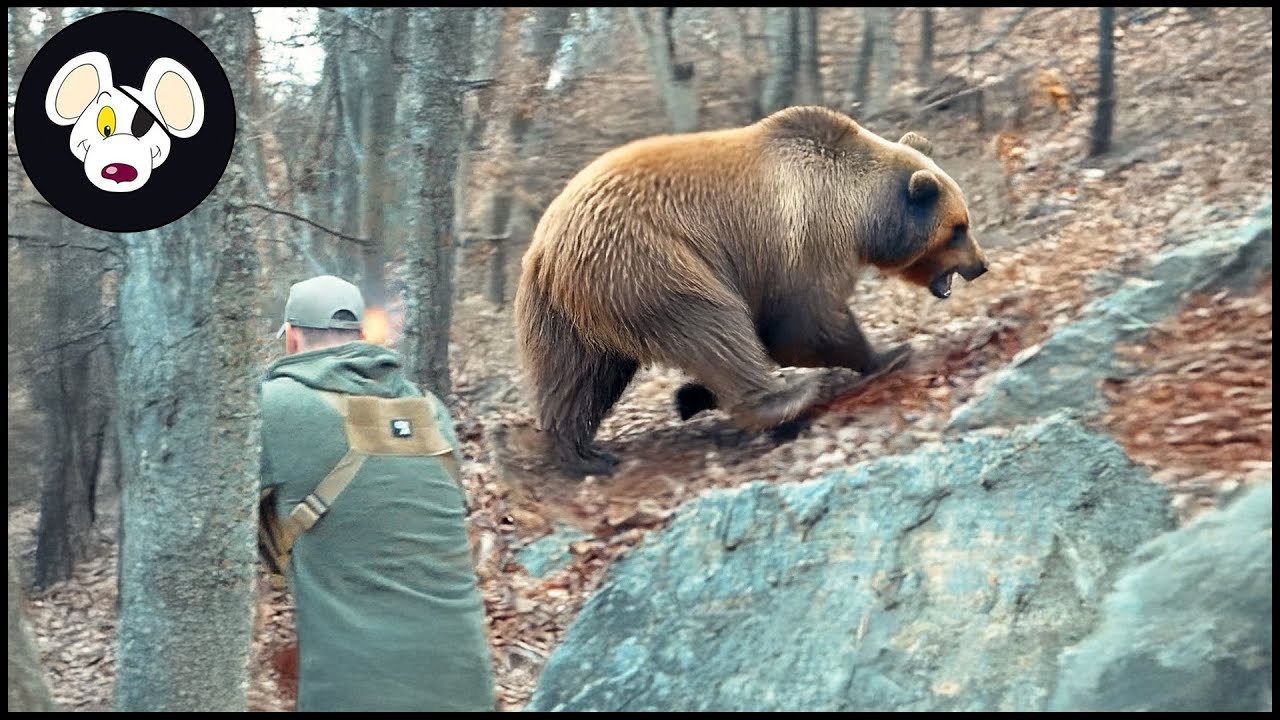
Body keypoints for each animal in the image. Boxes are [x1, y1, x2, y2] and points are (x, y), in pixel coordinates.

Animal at [511, 105, 988, 477]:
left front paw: (692, 396)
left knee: (576, 375)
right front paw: (889, 353)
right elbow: (802, 324)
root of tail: (549, 245)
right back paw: (786, 400)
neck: (860, 214)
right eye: (958, 228)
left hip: (564, 310)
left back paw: (580, 451)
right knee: (708, 326)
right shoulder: (805, 239)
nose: (980, 265)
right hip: (650, 263)